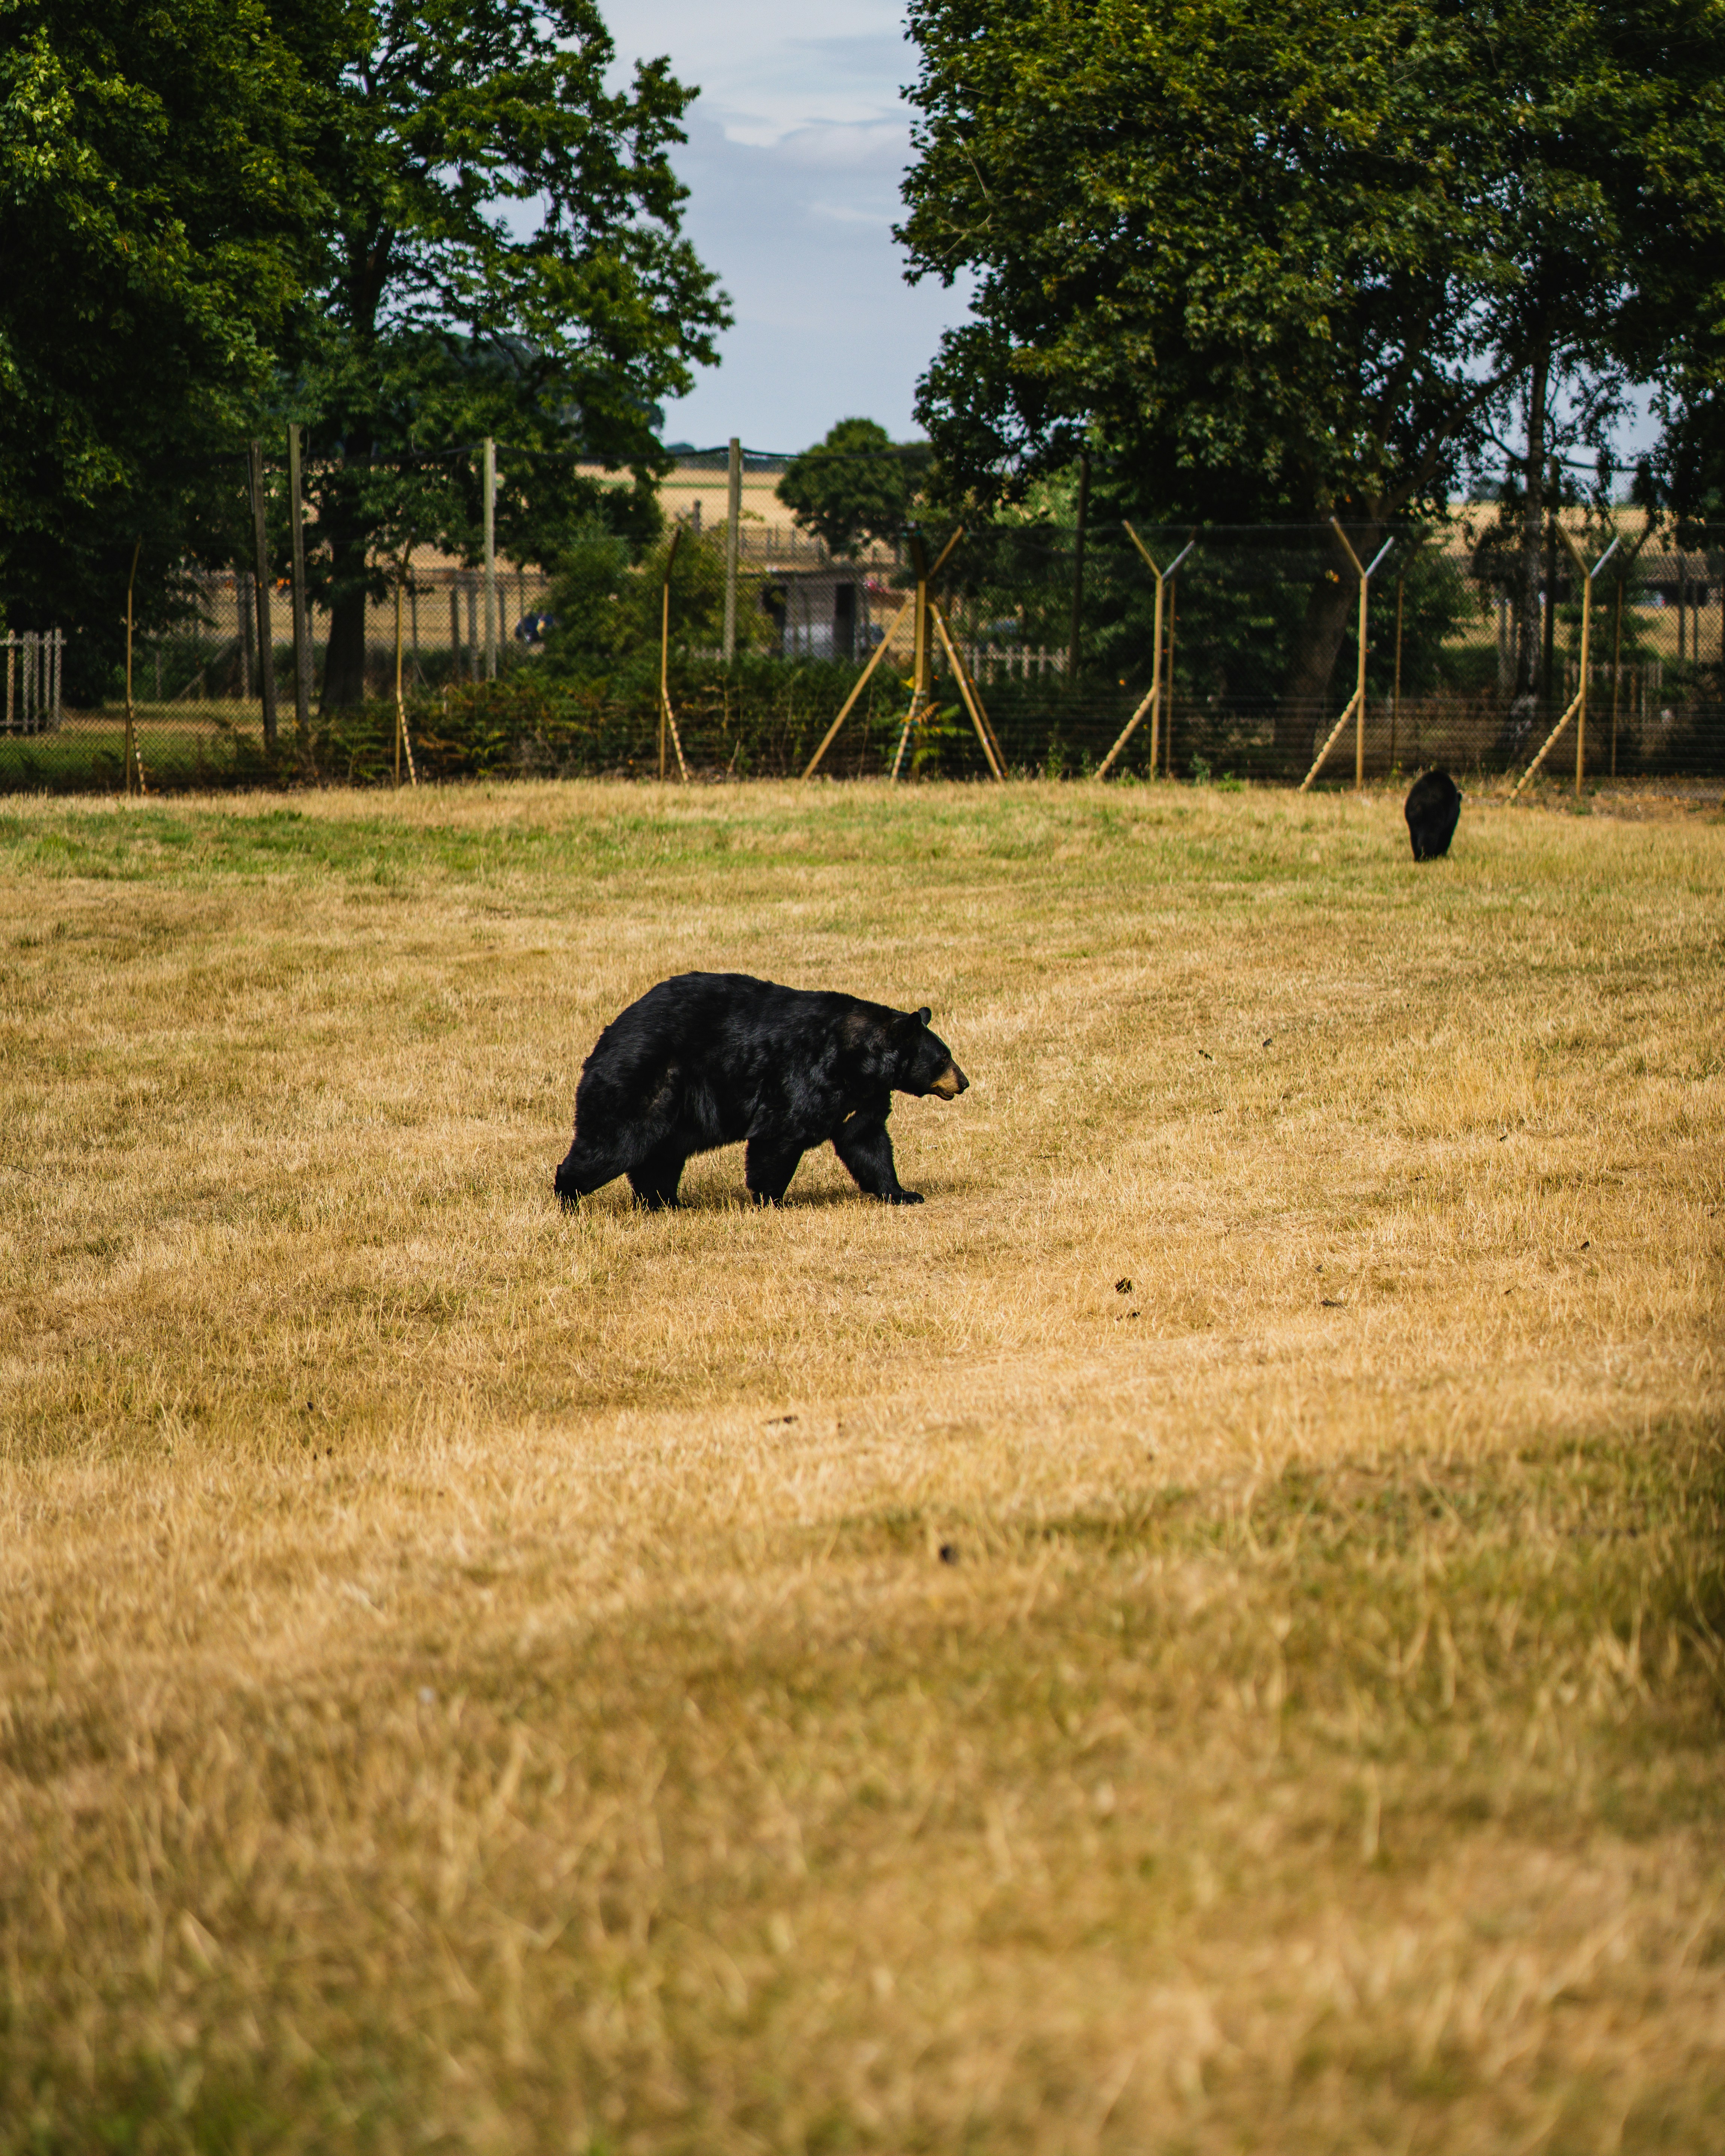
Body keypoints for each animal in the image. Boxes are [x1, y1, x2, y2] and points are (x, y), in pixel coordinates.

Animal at [553, 972, 970, 1211]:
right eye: (943, 1058)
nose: (964, 1082)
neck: (859, 1060)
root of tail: (606, 1038)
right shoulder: (808, 1074)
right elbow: (781, 1134)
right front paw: (774, 1201)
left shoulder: (862, 1097)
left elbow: (867, 1142)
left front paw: (903, 1193)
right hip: (642, 1083)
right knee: (613, 1144)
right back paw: (569, 1198)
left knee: (660, 1157)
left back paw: (667, 1203)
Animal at [1404, 768, 1462, 861]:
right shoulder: (1450, 822)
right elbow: (1446, 836)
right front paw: (1441, 855)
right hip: (1435, 818)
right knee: (1431, 837)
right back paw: (1427, 856)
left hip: (1412, 817)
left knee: (1415, 838)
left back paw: (1418, 857)